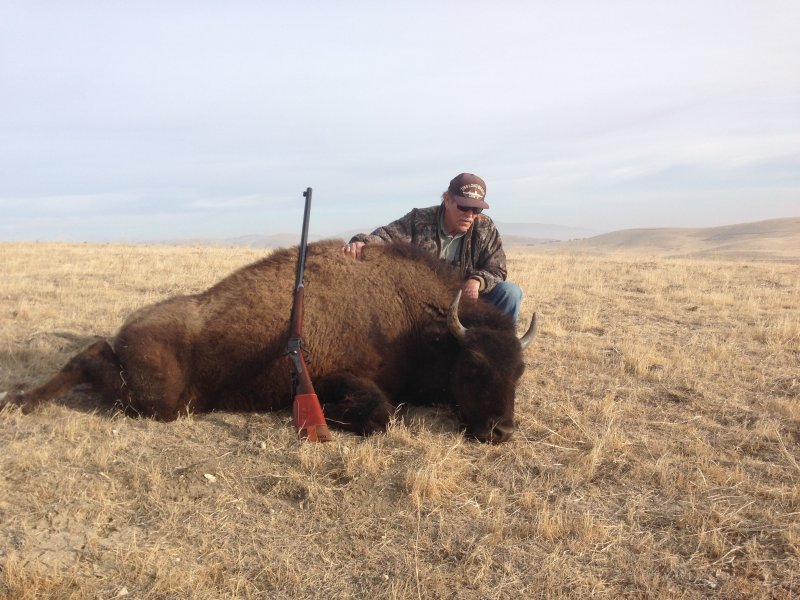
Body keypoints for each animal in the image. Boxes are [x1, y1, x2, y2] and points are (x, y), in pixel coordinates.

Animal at [4, 240, 537, 443]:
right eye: (472, 365)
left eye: (519, 371)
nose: (502, 431)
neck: (416, 324)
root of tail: (131, 326)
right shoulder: (338, 376)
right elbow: (380, 413)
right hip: (157, 400)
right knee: (92, 356)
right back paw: (21, 400)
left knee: (93, 351)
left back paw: (21, 398)